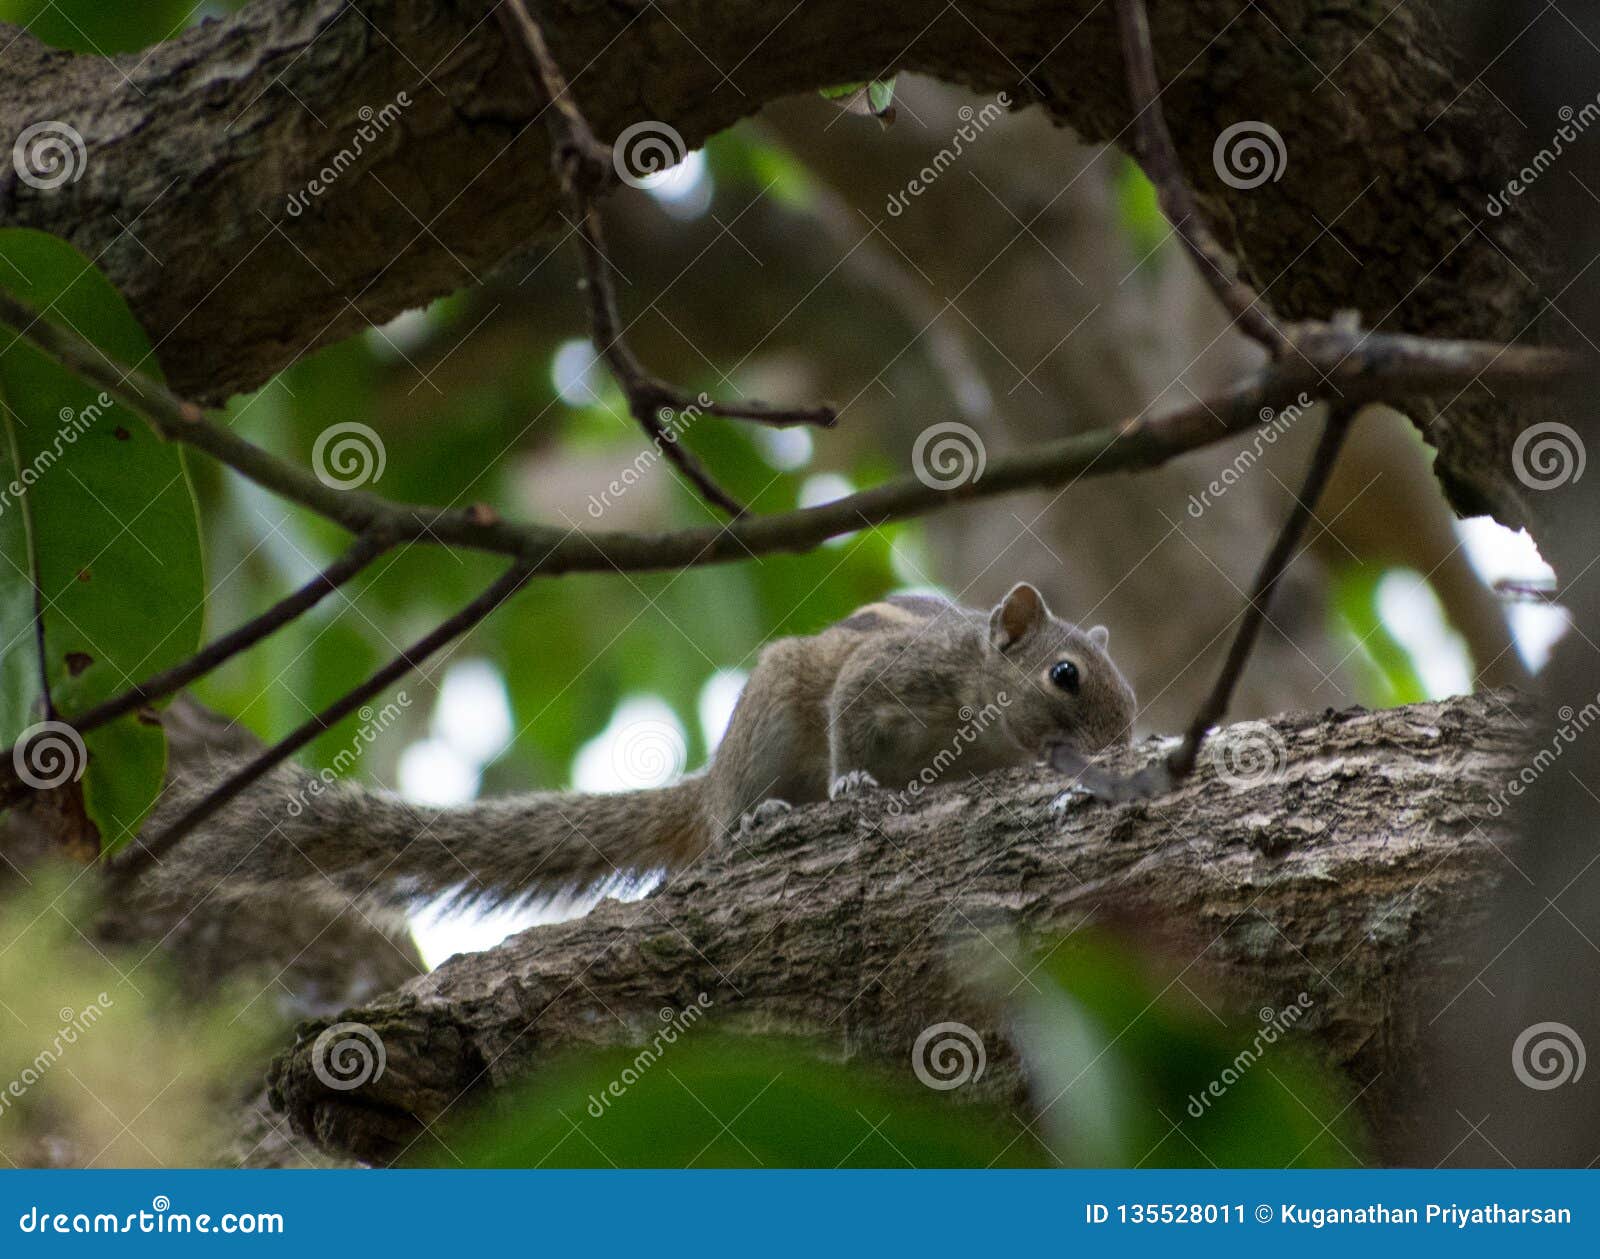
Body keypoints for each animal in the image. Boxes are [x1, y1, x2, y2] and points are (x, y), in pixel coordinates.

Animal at [133, 582, 1134, 913]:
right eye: (1065, 676)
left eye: (1127, 697)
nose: (1121, 742)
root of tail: (709, 784)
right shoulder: (892, 673)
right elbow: (849, 715)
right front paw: (854, 781)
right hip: (766, 723)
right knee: (736, 809)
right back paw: (757, 815)